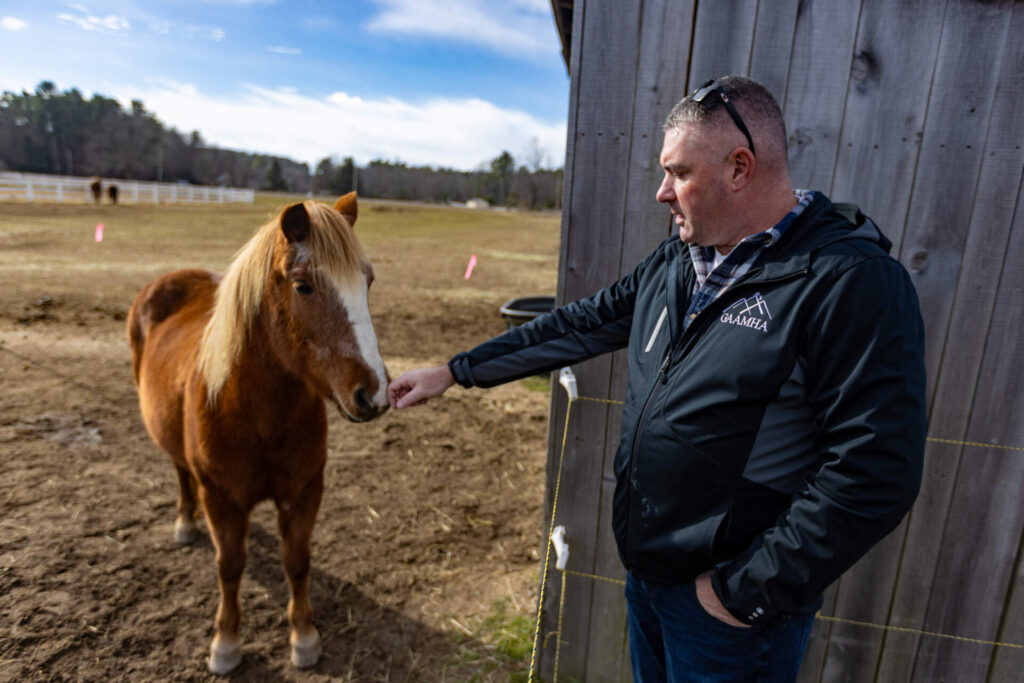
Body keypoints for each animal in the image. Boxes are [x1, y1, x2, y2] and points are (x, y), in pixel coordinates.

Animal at [127, 192, 389, 674]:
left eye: (368, 282)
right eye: (303, 286)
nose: (375, 392)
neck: (256, 414)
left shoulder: (304, 492)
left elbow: (297, 561)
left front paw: (304, 637)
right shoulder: (222, 499)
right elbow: (230, 566)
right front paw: (225, 644)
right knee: (181, 473)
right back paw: (185, 521)